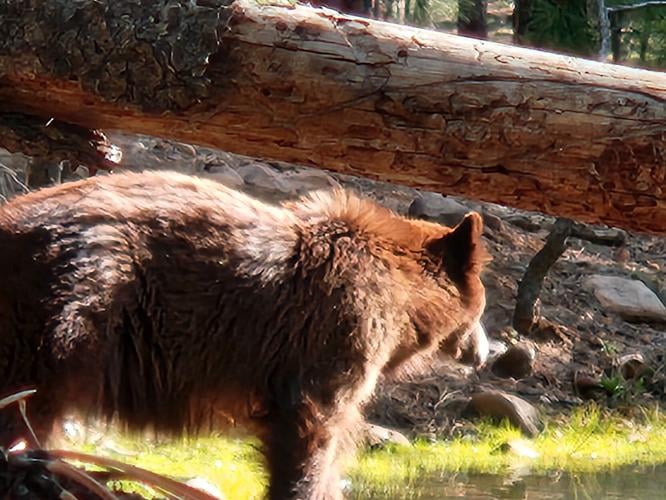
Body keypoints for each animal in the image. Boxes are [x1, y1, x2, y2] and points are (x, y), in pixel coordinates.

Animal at [0, 170, 488, 499]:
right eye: (481, 308)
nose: (484, 350)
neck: (405, 304)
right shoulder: (337, 330)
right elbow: (312, 424)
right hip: (64, 317)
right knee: (27, 406)